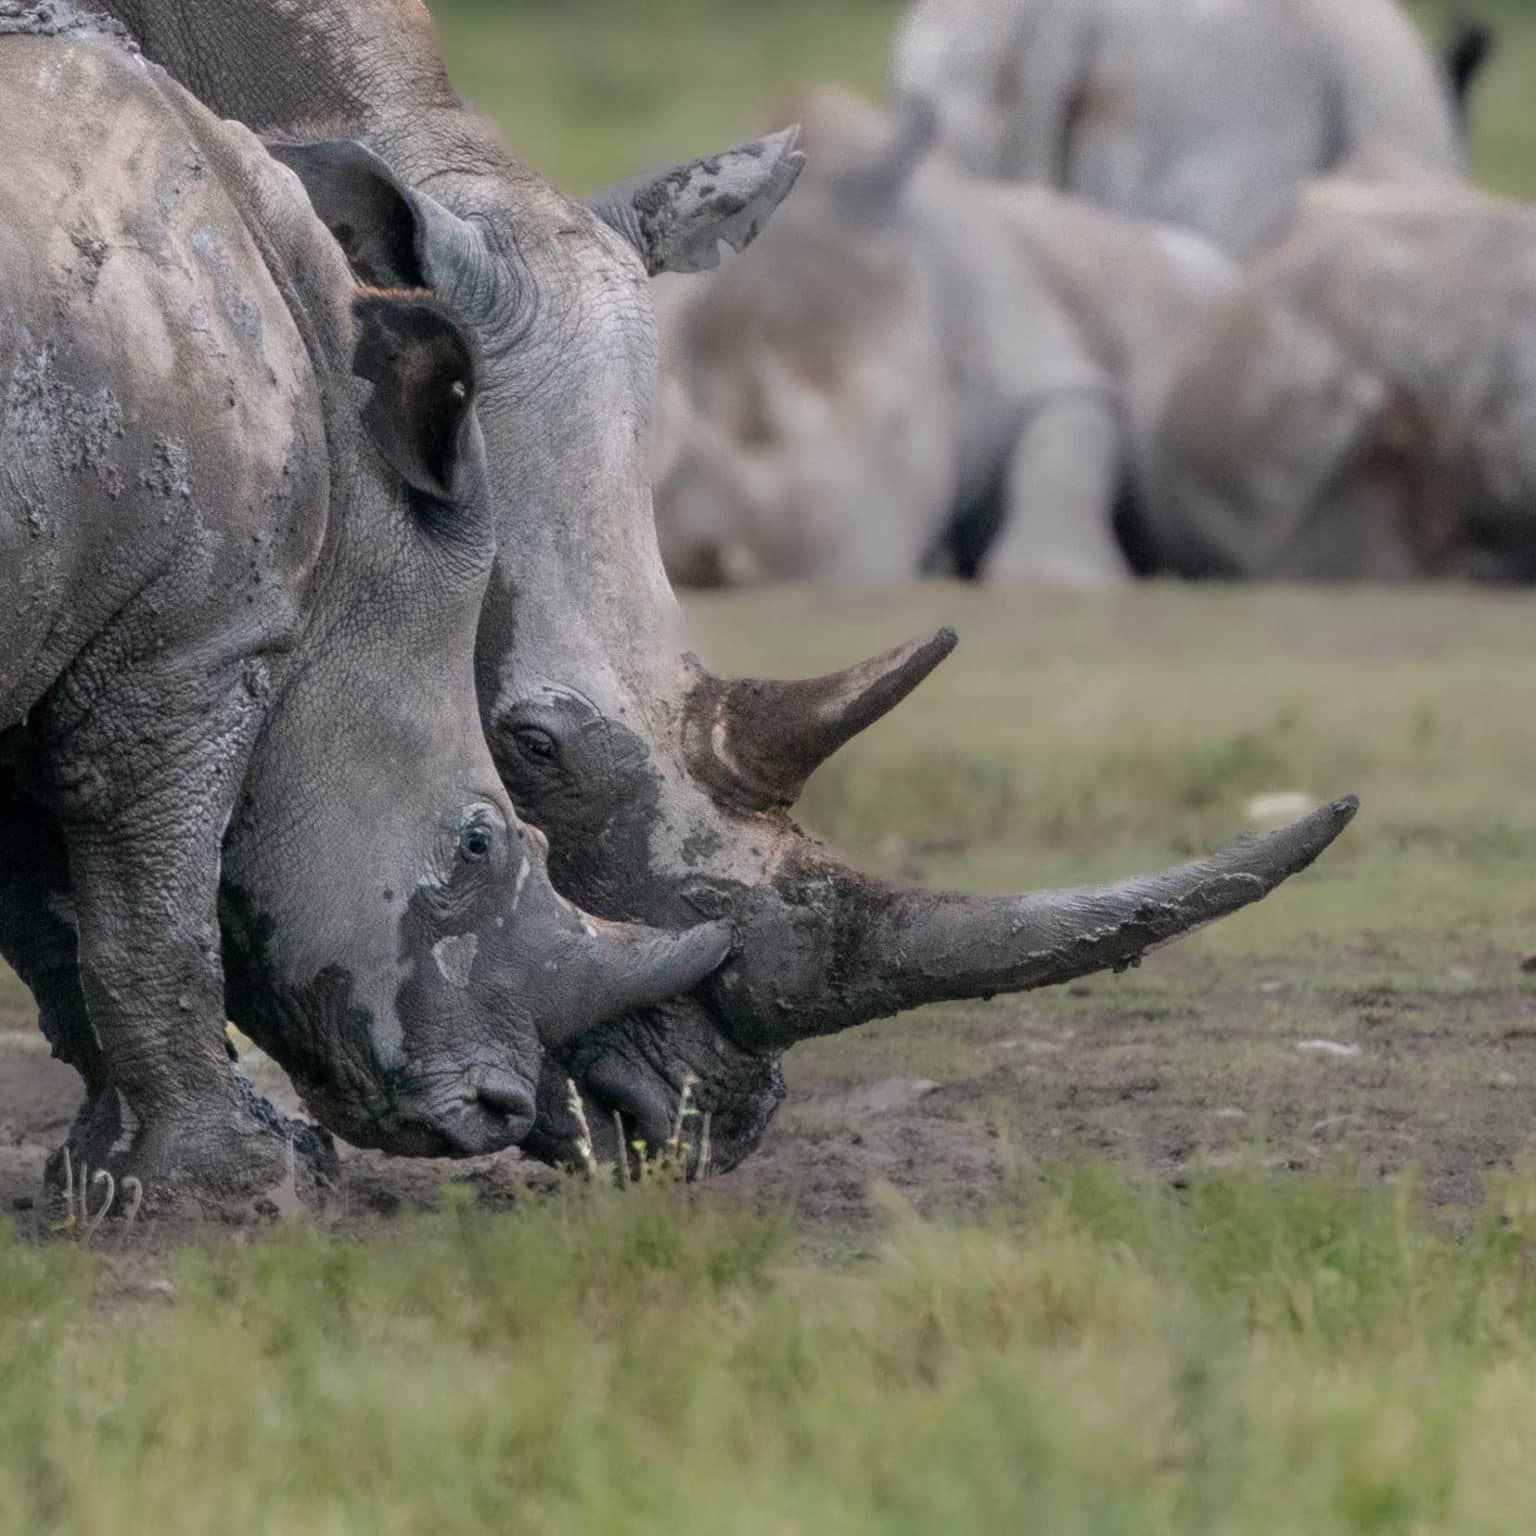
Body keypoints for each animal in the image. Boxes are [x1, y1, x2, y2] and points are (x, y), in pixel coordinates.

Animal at [0, 13, 731, 1210]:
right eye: (481, 842)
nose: (500, 1111)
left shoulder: (72, 625)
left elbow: (56, 912)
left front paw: (106, 1183)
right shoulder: (188, 647)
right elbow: (154, 917)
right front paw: (237, 1193)